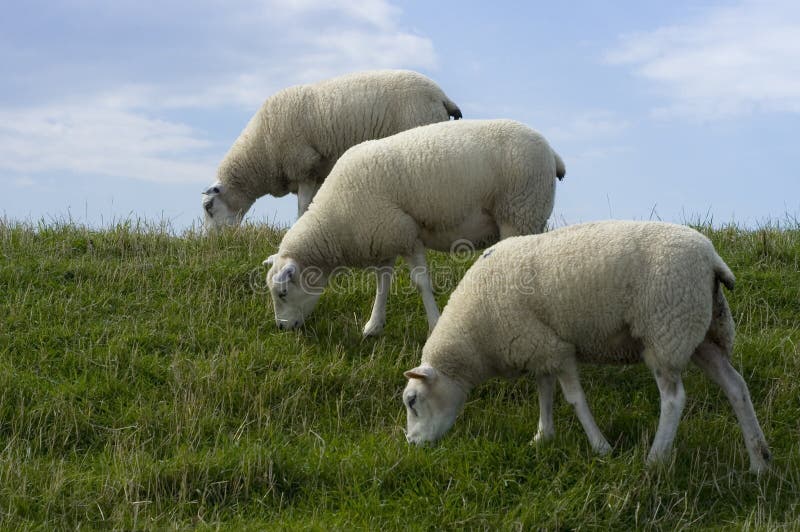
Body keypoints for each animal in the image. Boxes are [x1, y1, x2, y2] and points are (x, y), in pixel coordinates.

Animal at [202, 69, 463, 228]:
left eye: (208, 207)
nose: (214, 242)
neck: (260, 150)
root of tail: (442, 96)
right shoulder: (316, 173)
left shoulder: (303, 165)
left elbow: (303, 206)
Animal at [263, 119, 566, 337]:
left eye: (282, 293)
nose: (282, 328)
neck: (335, 221)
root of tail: (552, 152)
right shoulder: (383, 237)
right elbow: (382, 283)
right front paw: (373, 326)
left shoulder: (406, 234)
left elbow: (421, 282)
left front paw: (434, 326)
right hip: (528, 216)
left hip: (519, 212)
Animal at [402, 220, 771, 473]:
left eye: (412, 401)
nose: (412, 445)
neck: (475, 337)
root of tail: (712, 258)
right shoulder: (539, 345)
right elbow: (545, 392)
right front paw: (543, 437)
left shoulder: (556, 349)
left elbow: (574, 399)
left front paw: (600, 447)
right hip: (701, 333)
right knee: (735, 386)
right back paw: (759, 462)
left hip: (664, 330)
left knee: (674, 399)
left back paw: (654, 459)